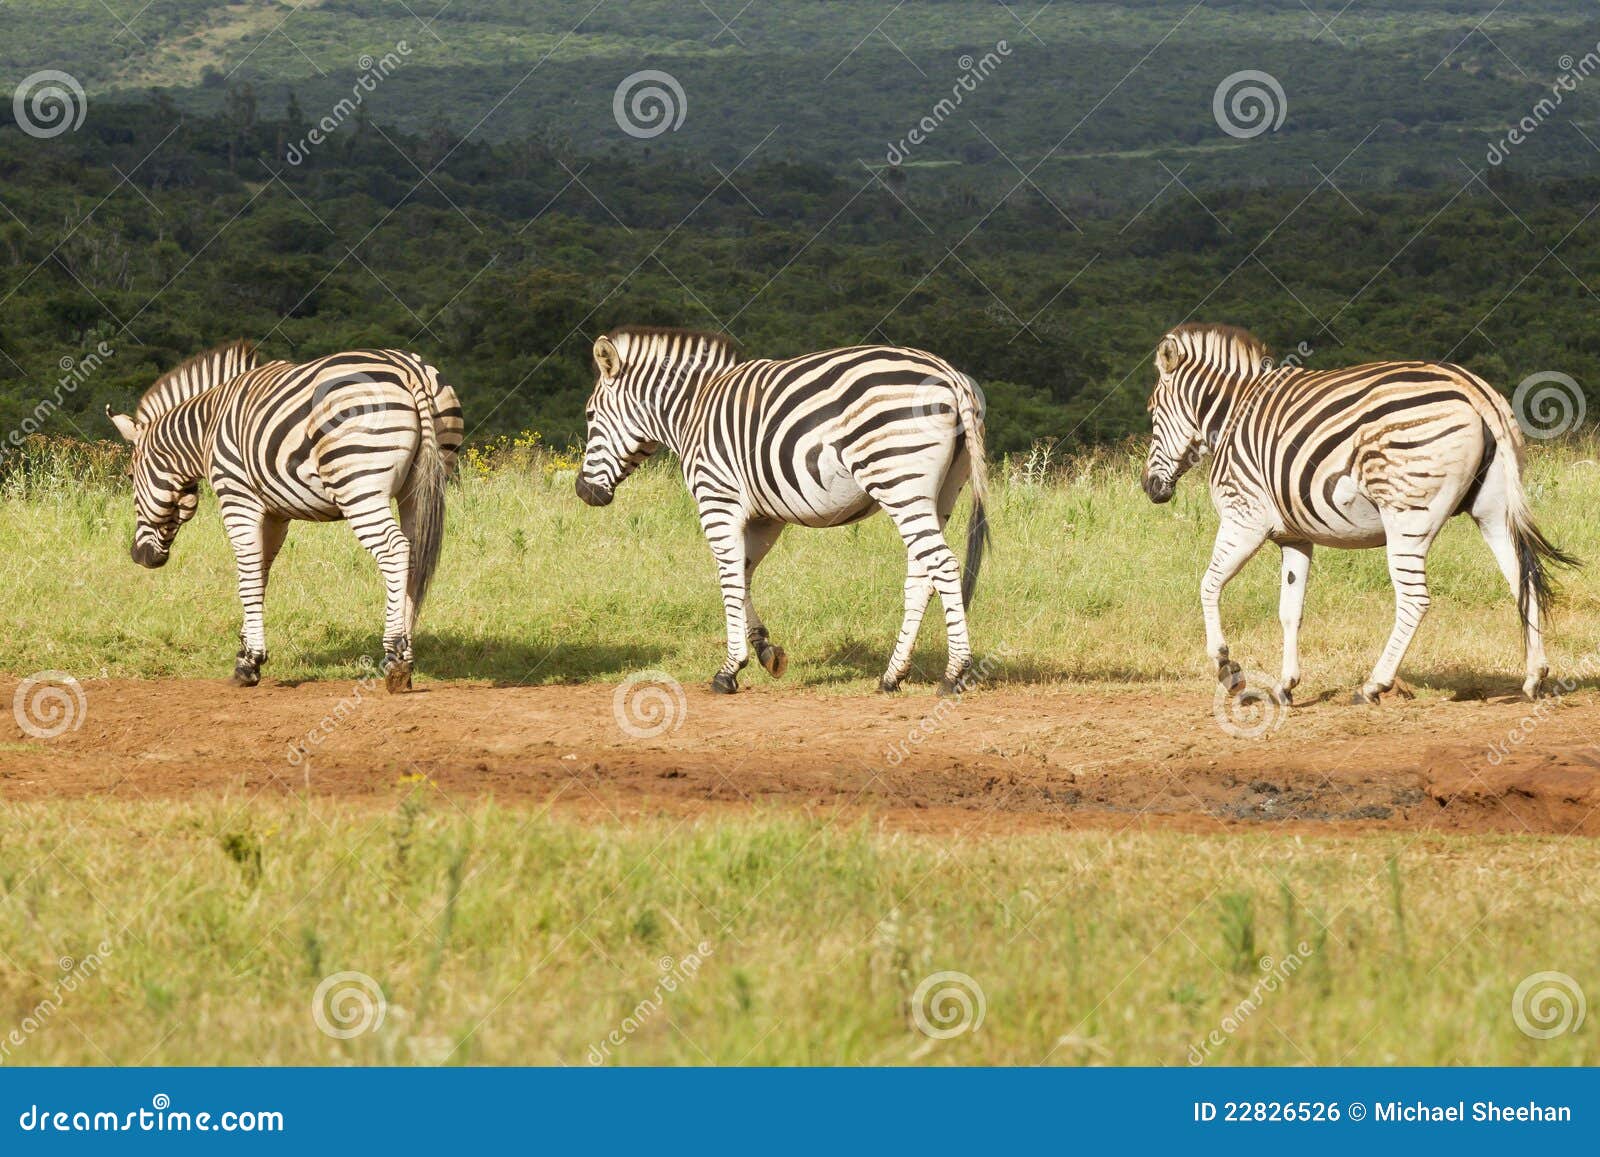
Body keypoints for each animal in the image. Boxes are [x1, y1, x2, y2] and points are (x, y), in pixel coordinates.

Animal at [108, 342, 464, 692]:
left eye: (130, 476)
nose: (139, 556)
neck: (206, 431)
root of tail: (409, 369)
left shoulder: (237, 497)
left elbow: (247, 577)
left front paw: (251, 661)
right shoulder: (275, 514)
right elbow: (260, 574)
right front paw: (246, 656)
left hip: (359, 483)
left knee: (394, 550)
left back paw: (395, 658)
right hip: (420, 485)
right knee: (414, 557)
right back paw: (408, 659)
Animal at [576, 327, 990, 695]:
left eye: (590, 415)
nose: (583, 491)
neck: (692, 409)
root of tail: (949, 373)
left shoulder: (717, 500)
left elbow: (727, 578)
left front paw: (729, 670)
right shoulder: (766, 517)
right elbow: (743, 575)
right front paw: (765, 650)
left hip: (897, 480)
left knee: (943, 565)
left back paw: (954, 673)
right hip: (940, 493)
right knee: (921, 576)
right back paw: (892, 676)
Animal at [1142, 322, 1576, 705]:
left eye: (1151, 413)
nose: (1149, 487)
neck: (1232, 413)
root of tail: (1472, 387)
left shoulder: (1243, 516)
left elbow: (1208, 585)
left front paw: (1227, 668)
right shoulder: (1295, 536)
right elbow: (1290, 611)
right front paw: (1286, 685)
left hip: (1406, 515)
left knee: (1414, 600)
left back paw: (1374, 685)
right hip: (1493, 510)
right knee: (1522, 581)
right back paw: (1535, 675)